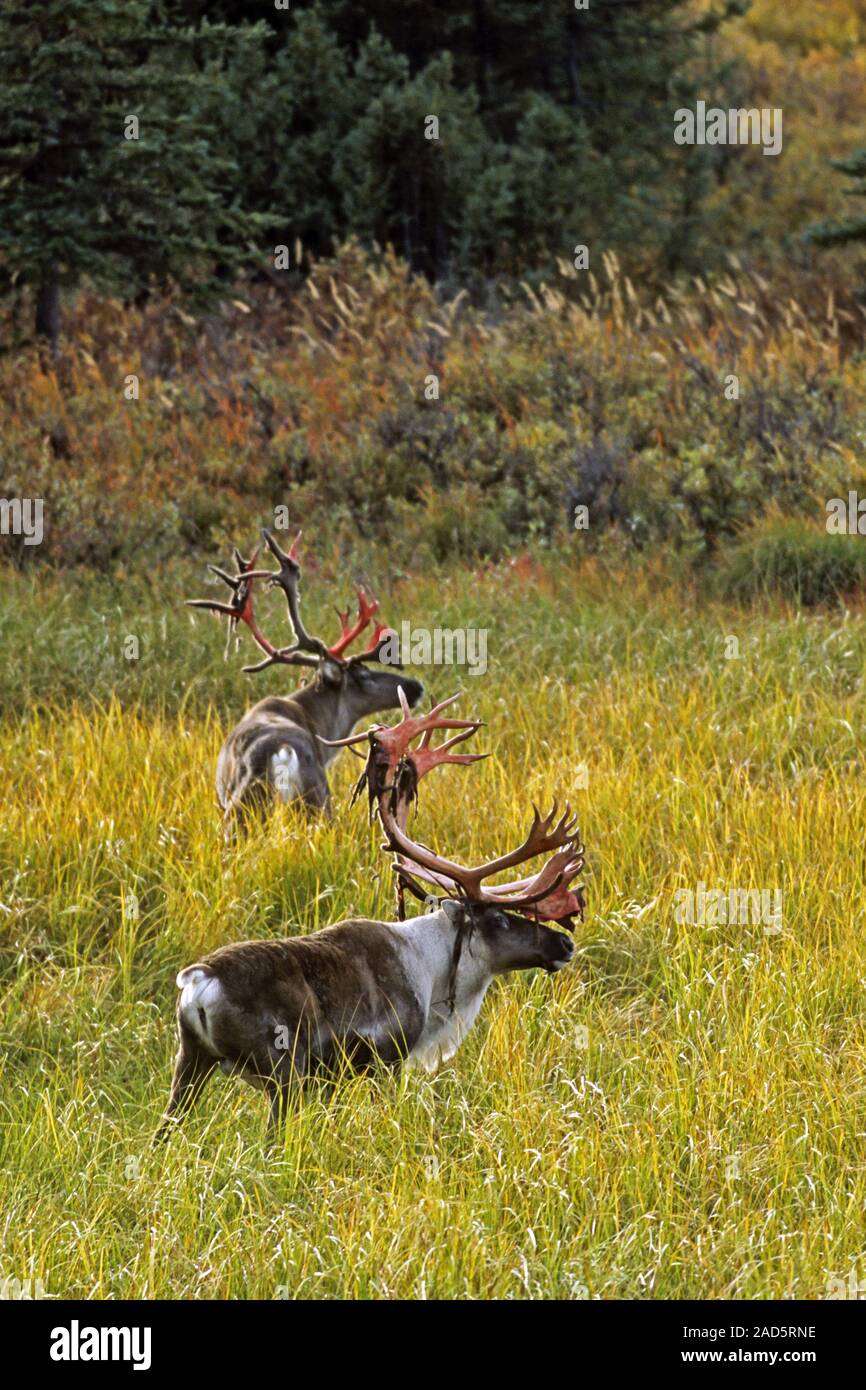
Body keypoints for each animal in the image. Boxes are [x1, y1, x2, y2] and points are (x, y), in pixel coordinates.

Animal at [155, 692, 585, 1138]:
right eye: (499, 919)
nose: (564, 942)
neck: (430, 970)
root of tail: (200, 979)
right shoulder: (387, 1057)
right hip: (282, 1071)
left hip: (190, 1059)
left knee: (163, 1133)